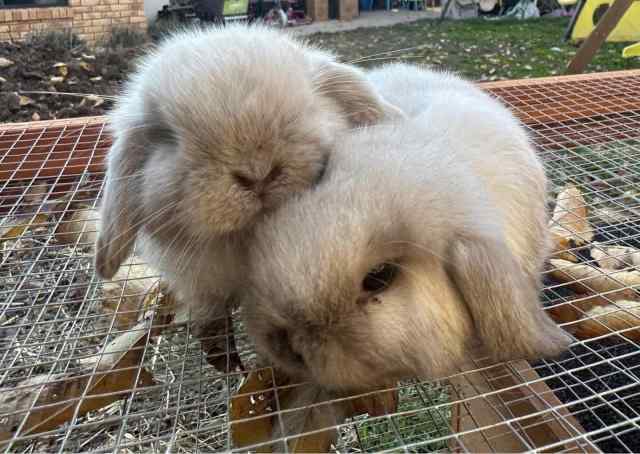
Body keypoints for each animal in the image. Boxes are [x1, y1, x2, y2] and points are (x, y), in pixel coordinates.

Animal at [94, 24, 404, 371]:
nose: (258, 173)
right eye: (167, 137)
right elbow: (210, 308)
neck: (249, 245)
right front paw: (222, 354)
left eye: (308, 105)